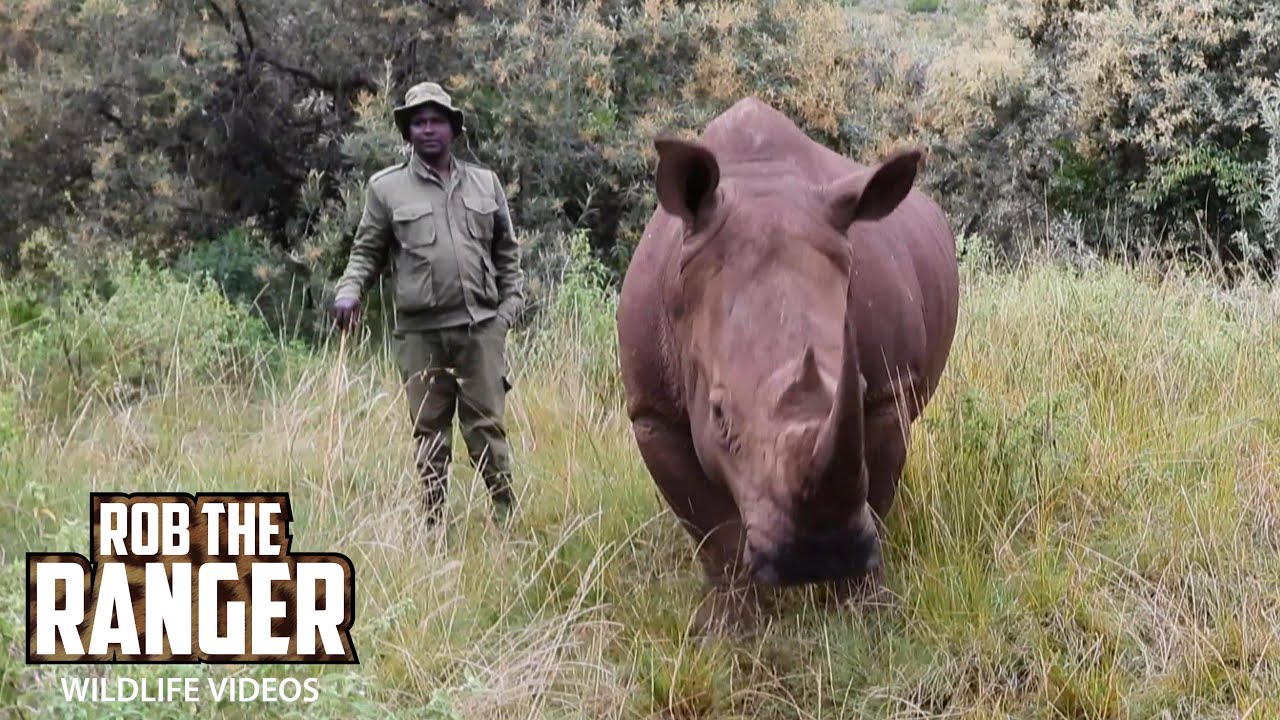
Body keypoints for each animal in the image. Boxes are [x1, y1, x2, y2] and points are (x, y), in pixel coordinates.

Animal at [616, 97, 960, 632]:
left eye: (859, 389)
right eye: (718, 414)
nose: (817, 557)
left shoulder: (889, 391)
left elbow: (877, 494)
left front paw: (862, 616)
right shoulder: (651, 410)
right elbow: (713, 534)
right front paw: (732, 632)